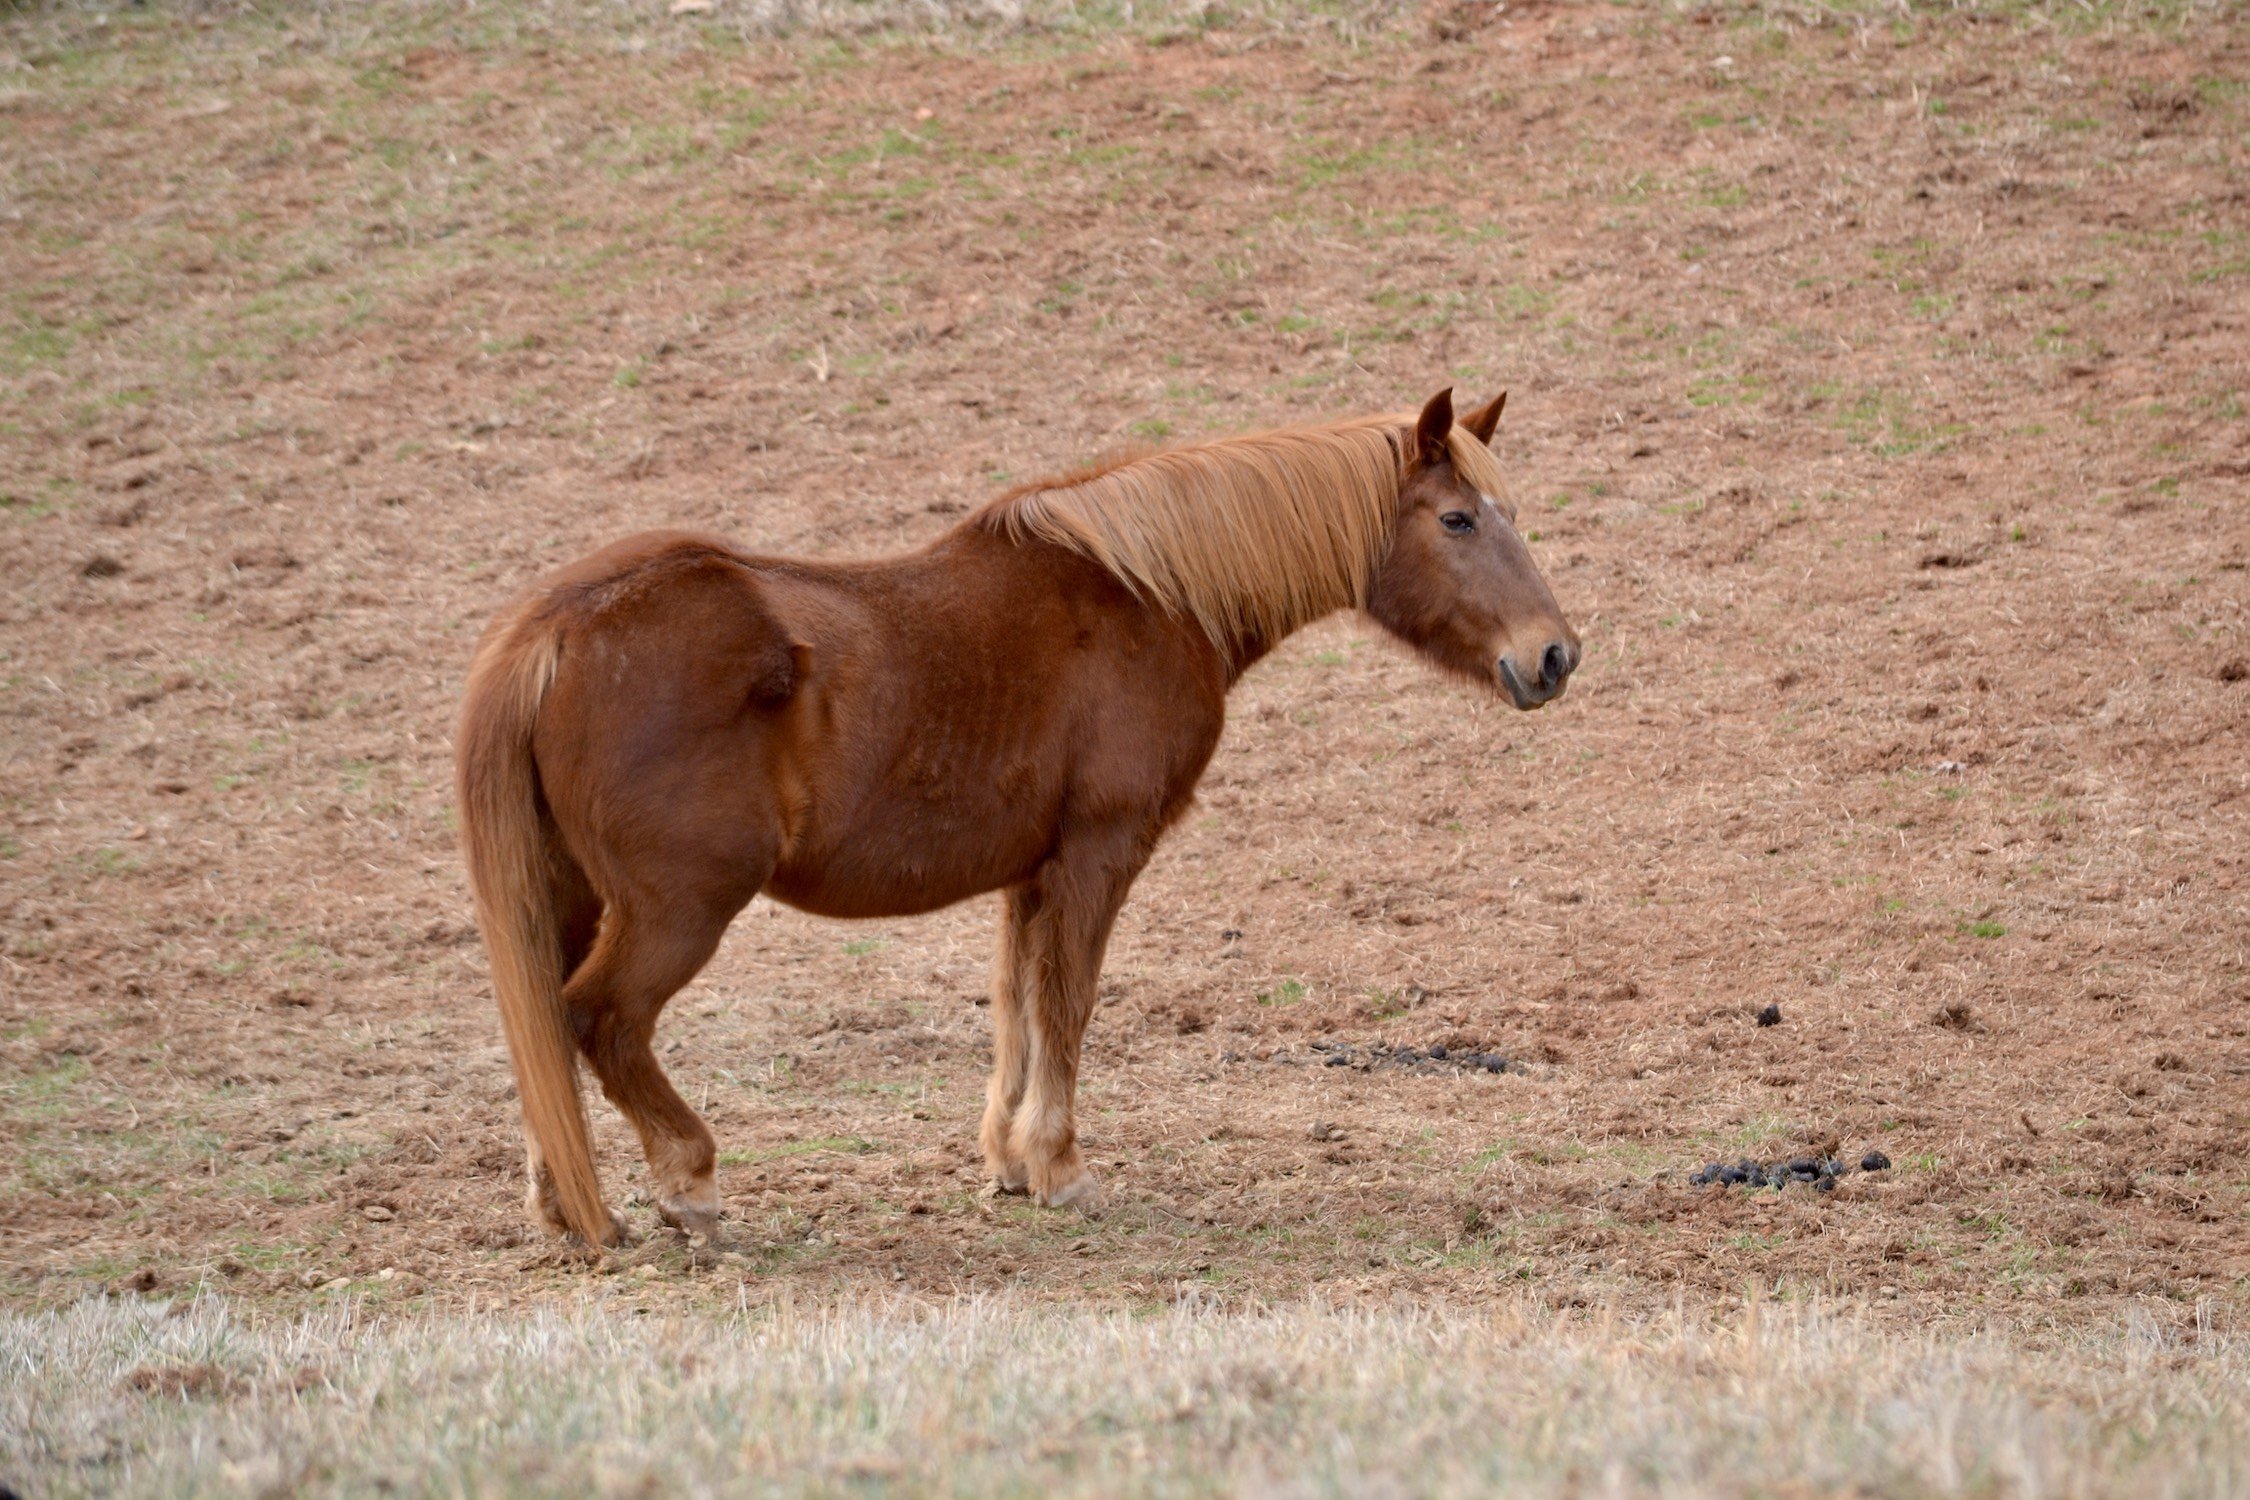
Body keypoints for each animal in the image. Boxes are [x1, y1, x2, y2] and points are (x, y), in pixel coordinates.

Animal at [456, 387, 1579, 1251]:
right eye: (1459, 521)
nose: (1555, 655)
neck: (1144, 594)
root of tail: (555, 631)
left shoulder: (1028, 873)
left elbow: (1017, 1007)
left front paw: (1005, 1159)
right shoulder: (1098, 854)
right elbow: (1066, 1005)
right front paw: (1059, 1165)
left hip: (570, 898)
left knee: (544, 1027)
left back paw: (566, 1205)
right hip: (676, 912)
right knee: (599, 1020)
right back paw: (686, 1182)